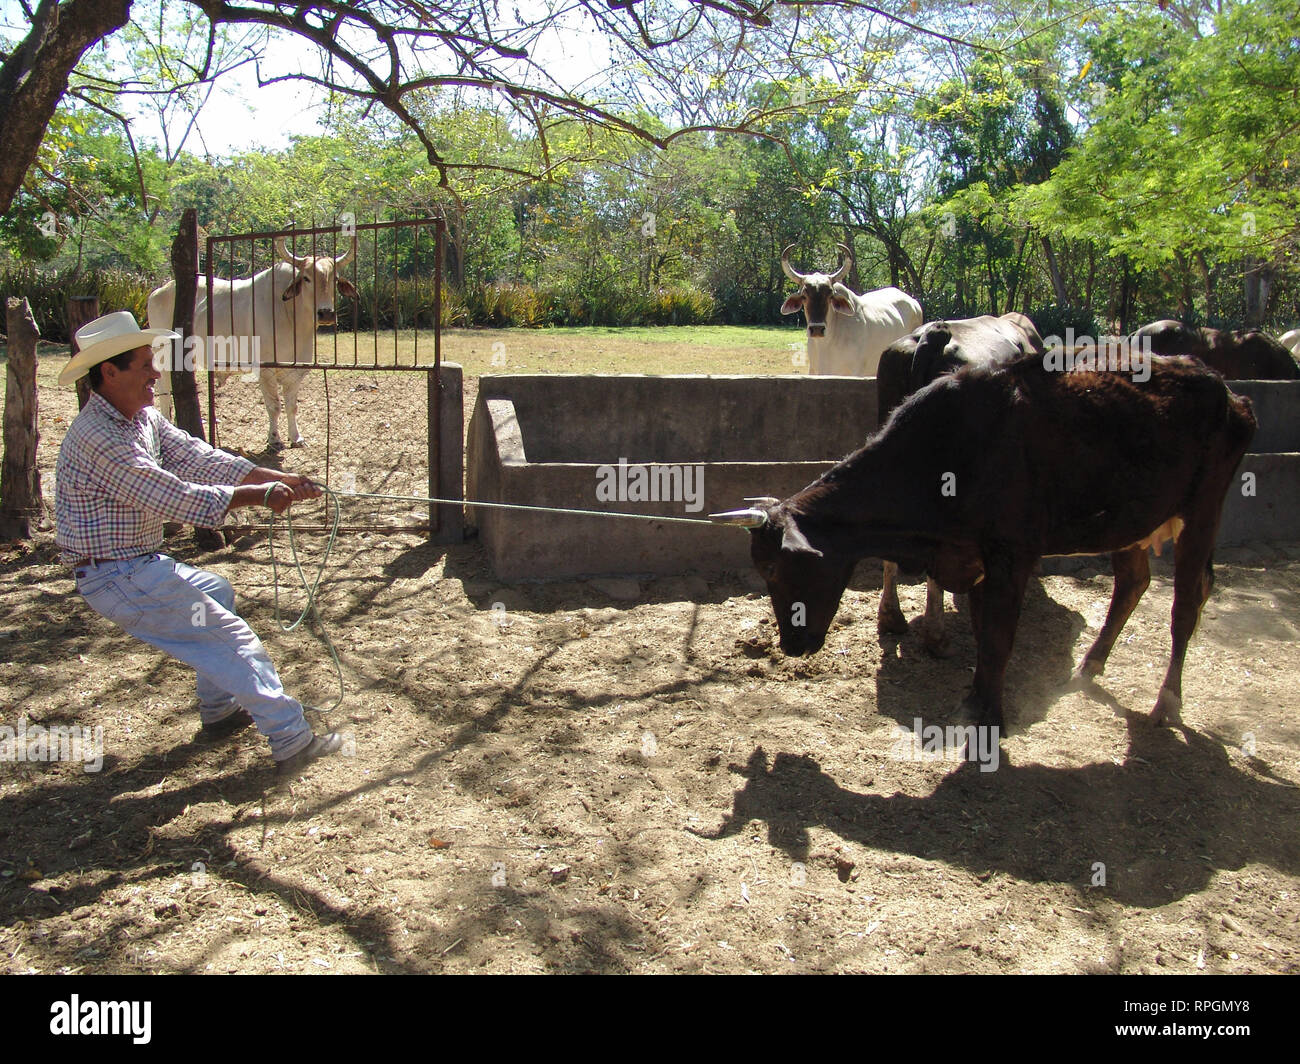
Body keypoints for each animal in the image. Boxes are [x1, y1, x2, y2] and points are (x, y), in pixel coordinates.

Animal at [148, 236, 358, 450]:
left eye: (334, 279)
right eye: (306, 278)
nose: (326, 313)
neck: (291, 316)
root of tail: (159, 291)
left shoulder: (295, 372)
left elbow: (292, 406)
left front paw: (296, 437)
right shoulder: (265, 371)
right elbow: (274, 407)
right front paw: (274, 439)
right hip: (163, 356)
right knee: (164, 389)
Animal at [712, 353, 1255, 734]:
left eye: (775, 569)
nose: (791, 644)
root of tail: (1228, 392)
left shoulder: (1011, 556)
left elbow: (997, 638)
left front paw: (988, 714)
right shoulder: (972, 560)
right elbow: (982, 632)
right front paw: (977, 696)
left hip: (1203, 512)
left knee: (1185, 604)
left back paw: (1167, 703)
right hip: (1131, 522)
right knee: (1132, 582)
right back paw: (1090, 665)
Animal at [780, 244, 923, 376]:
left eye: (830, 295)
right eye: (804, 296)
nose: (817, 329)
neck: (827, 344)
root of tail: (914, 302)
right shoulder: (814, 370)